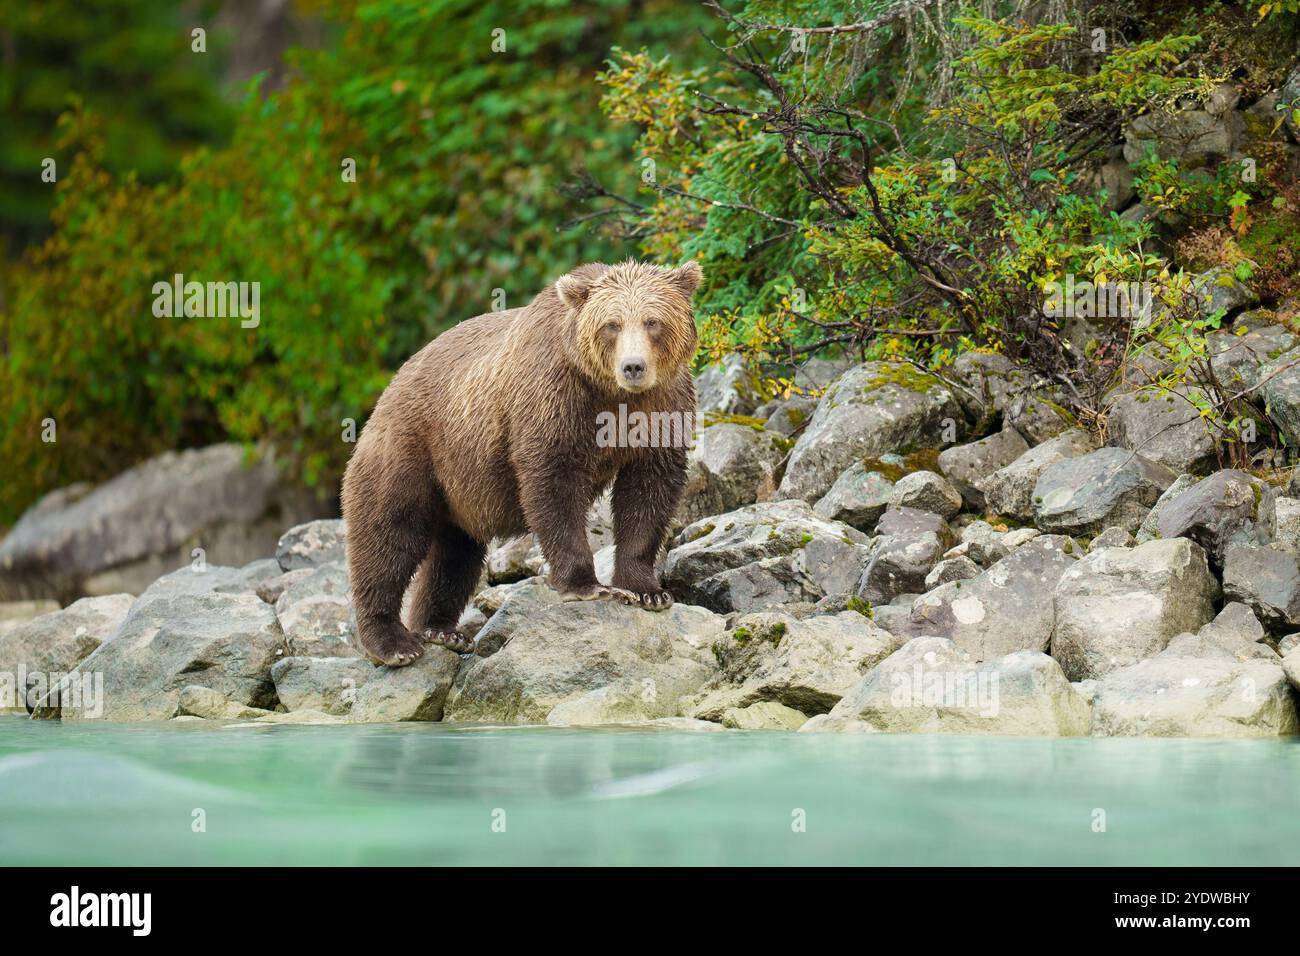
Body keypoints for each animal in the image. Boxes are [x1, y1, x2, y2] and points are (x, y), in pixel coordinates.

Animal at [341, 259, 703, 666]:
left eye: (652, 321)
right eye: (612, 324)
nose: (633, 367)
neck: (612, 394)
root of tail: (388, 391)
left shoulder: (662, 407)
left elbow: (649, 491)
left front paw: (647, 590)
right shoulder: (556, 399)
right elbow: (554, 484)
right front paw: (588, 584)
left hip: (456, 489)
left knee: (455, 553)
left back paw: (441, 630)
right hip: (412, 451)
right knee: (388, 534)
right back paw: (393, 642)